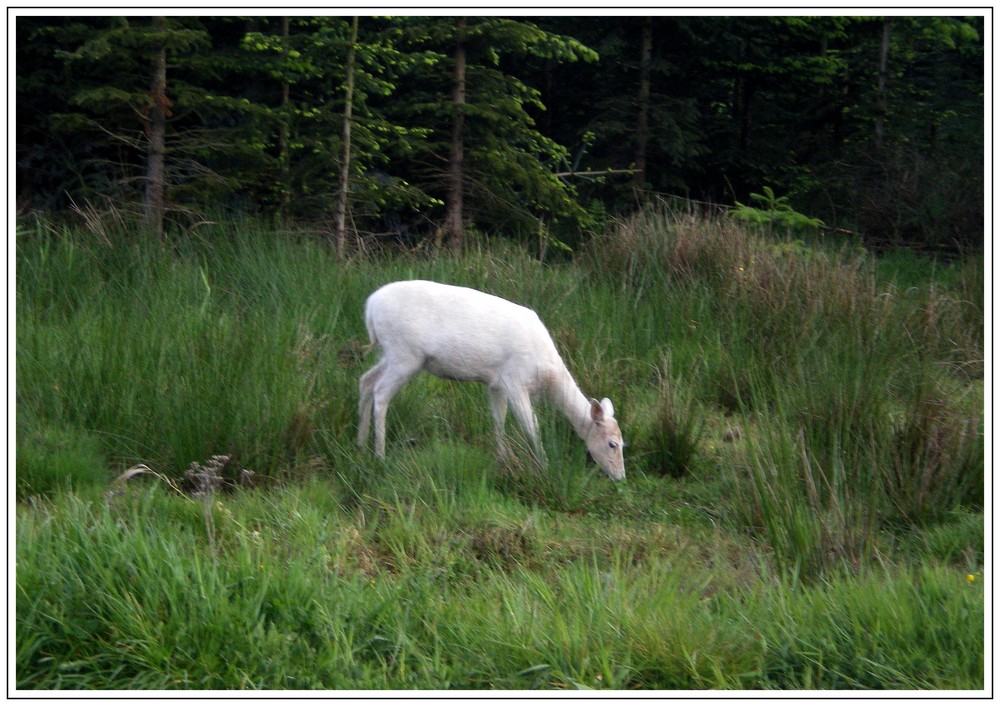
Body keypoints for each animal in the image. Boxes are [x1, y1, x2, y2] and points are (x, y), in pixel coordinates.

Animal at [357, 280, 625, 480]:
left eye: (624, 444)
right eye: (612, 444)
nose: (620, 477)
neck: (547, 374)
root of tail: (370, 307)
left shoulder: (496, 384)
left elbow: (498, 420)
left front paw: (502, 460)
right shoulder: (515, 381)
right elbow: (531, 426)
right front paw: (544, 465)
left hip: (393, 353)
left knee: (366, 380)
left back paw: (361, 442)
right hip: (405, 353)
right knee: (380, 392)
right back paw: (380, 455)